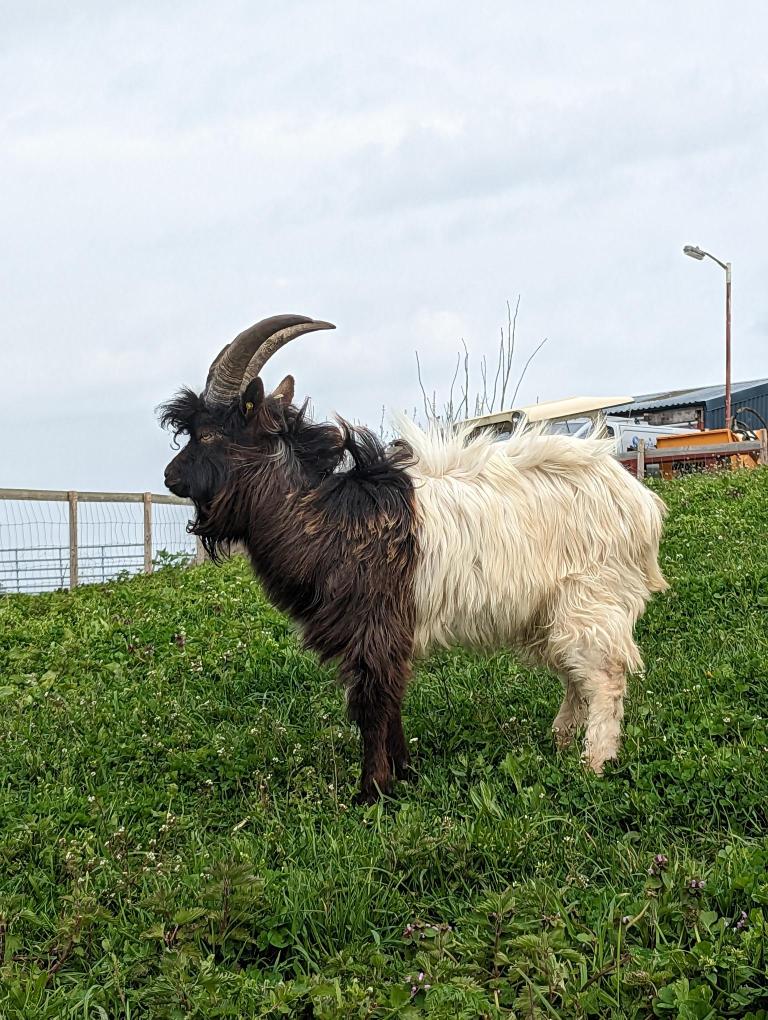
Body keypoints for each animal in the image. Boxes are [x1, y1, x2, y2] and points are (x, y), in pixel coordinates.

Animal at [160, 314, 667, 803]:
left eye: (207, 434)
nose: (169, 477)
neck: (326, 516)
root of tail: (639, 504)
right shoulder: (389, 634)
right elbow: (392, 698)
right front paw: (404, 772)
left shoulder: (372, 627)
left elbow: (372, 704)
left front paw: (371, 791)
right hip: (551, 609)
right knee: (575, 674)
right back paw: (561, 740)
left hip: (591, 597)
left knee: (603, 675)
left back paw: (594, 763)